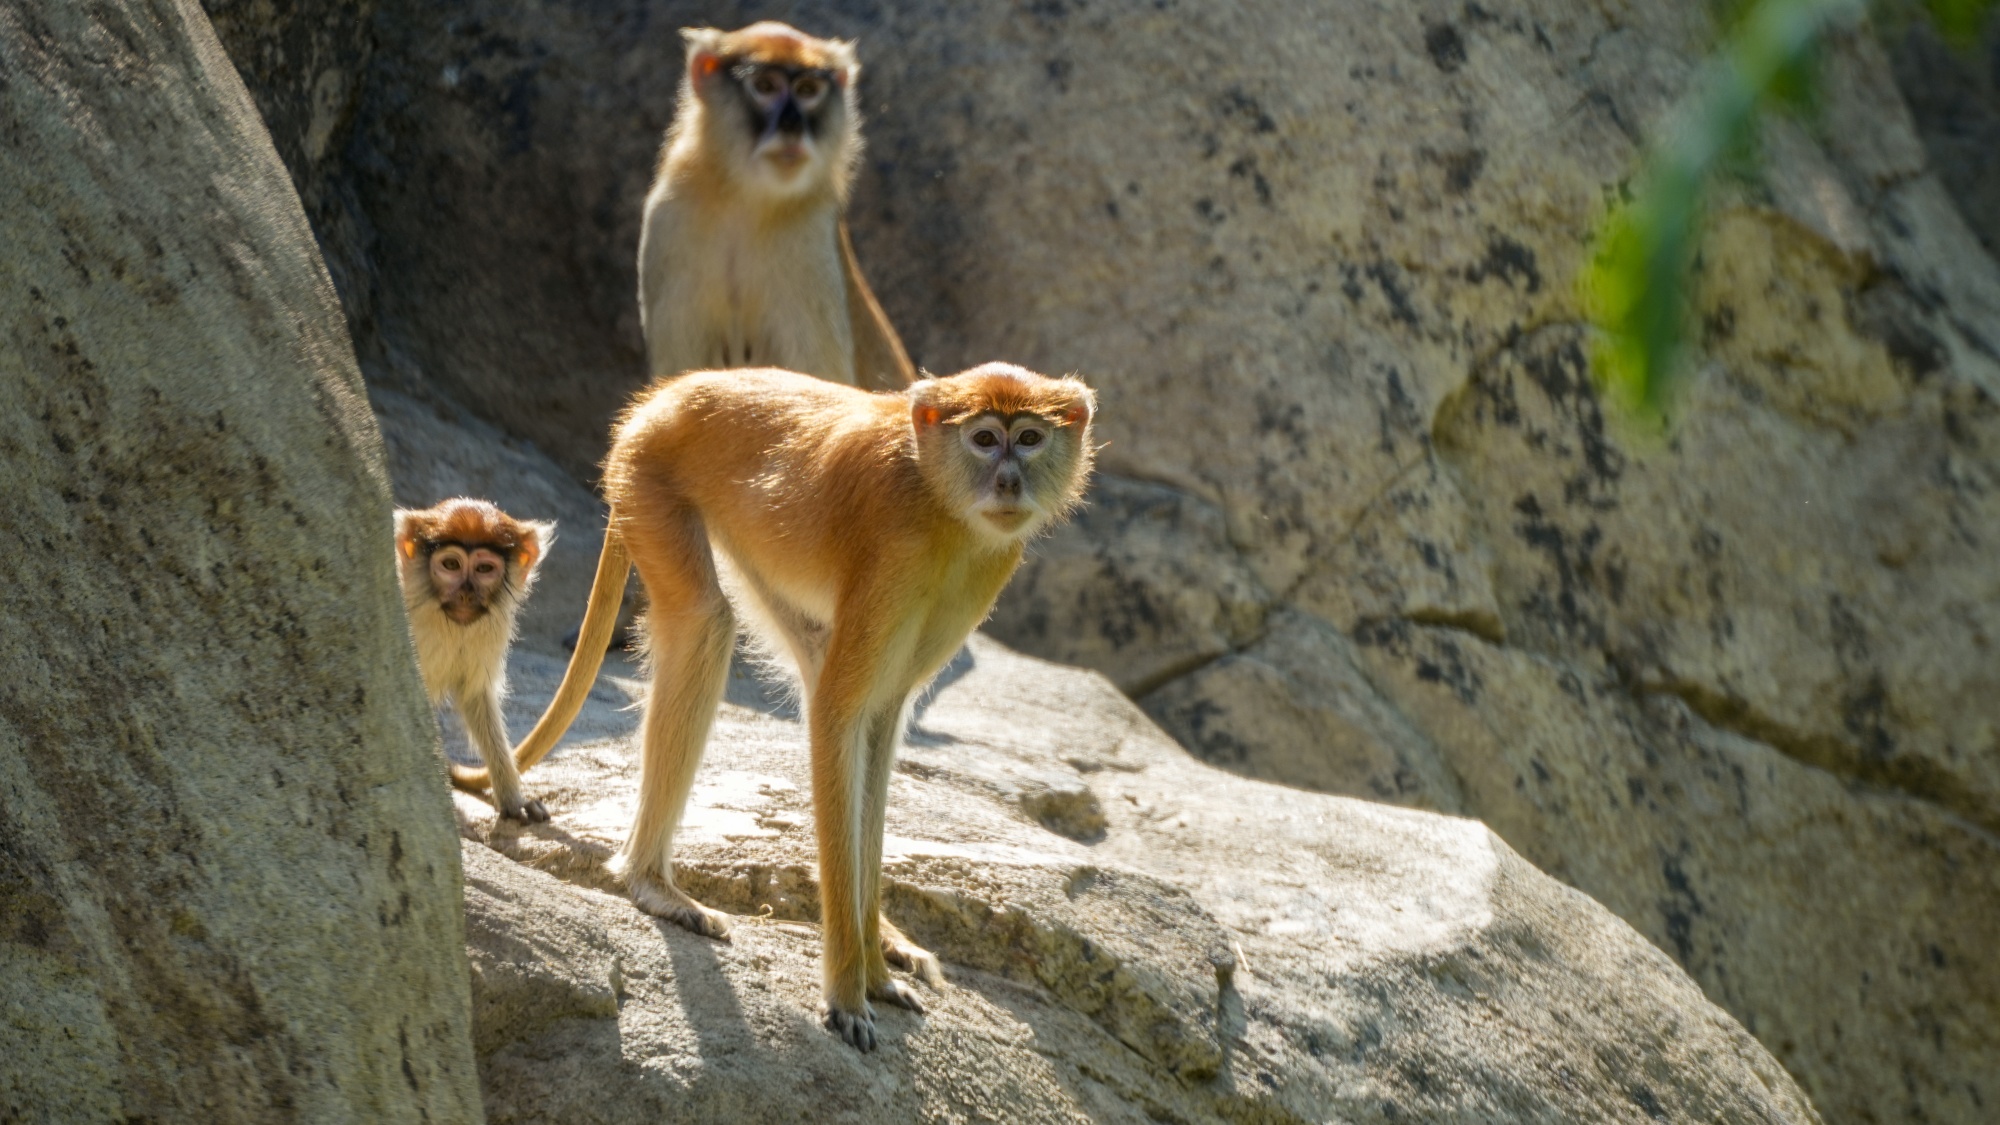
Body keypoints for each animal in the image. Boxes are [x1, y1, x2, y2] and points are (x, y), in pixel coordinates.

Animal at [501, 363, 1095, 1049]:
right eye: (984, 439)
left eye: (1028, 438)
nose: (1007, 481)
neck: (933, 488)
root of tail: (665, 398)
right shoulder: (894, 548)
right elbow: (839, 713)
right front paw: (848, 991)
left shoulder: (984, 564)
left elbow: (879, 724)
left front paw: (876, 969)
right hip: (646, 476)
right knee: (705, 624)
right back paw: (653, 883)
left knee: (799, 653)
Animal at [638, 21, 915, 391]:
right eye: (766, 86)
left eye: (808, 89)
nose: (792, 125)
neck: (745, 200)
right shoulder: (668, 218)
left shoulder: (811, 241)